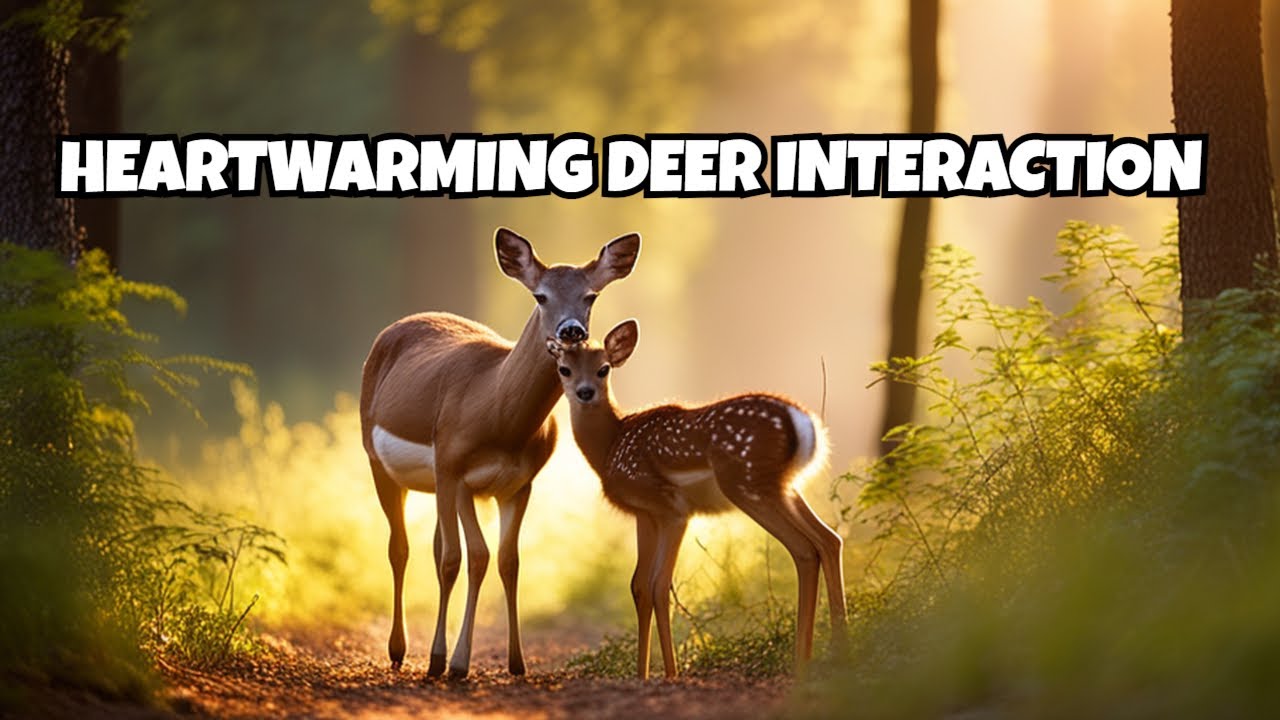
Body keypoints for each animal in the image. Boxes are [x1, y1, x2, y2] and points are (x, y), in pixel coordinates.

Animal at [360, 228, 640, 679]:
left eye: (591, 295)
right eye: (540, 295)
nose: (571, 331)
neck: (497, 415)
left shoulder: (519, 484)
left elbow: (508, 561)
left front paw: (515, 661)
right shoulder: (453, 468)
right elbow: (466, 557)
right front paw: (448, 662)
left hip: (433, 485)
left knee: (434, 547)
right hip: (377, 460)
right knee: (400, 547)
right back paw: (400, 651)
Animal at [547, 320, 847, 680]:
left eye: (603, 368)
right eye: (564, 369)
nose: (585, 392)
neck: (609, 447)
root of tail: (804, 425)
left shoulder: (672, 508)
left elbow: (659, 584)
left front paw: (671, 673)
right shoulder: (644, 514)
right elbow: (639, 585)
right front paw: (642, 674)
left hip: (748, 483)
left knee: (804, 550)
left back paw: (803, 662)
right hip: (786, 488)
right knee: (829, 540)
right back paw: (839, 653)